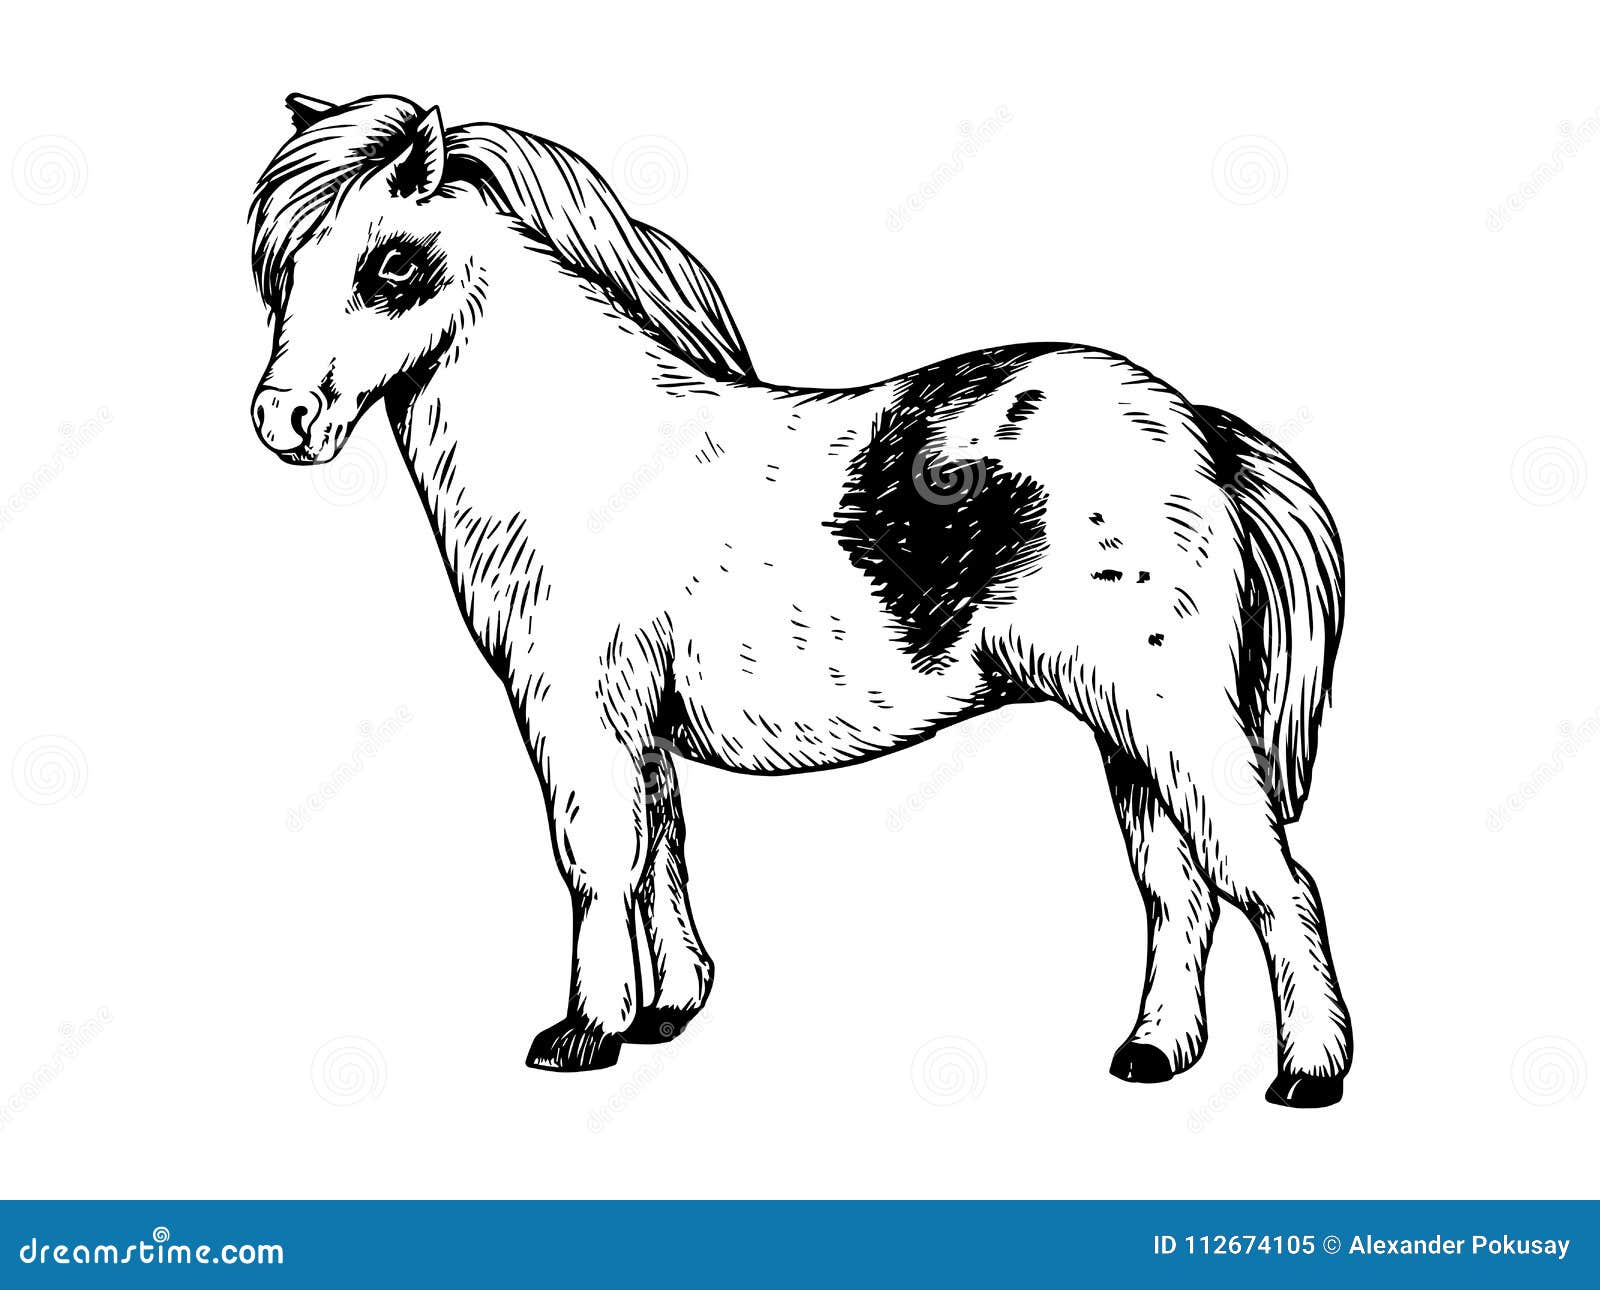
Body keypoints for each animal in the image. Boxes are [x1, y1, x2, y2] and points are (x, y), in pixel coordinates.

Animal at [249, 93, 1353, 1107]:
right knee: (1180, 891)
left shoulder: (579, 706)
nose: (284, 419)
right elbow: (662, 854)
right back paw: (1155, 1053)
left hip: (1170, 711)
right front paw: (666, 1009)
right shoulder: (640, 723)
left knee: (1273, 882)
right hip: (1126, 728)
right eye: (285, 269)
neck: (599, 460)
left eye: (391, 266)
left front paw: (585, 1033)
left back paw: (1308, 1073)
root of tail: (1194, 430)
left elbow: (598, 861)